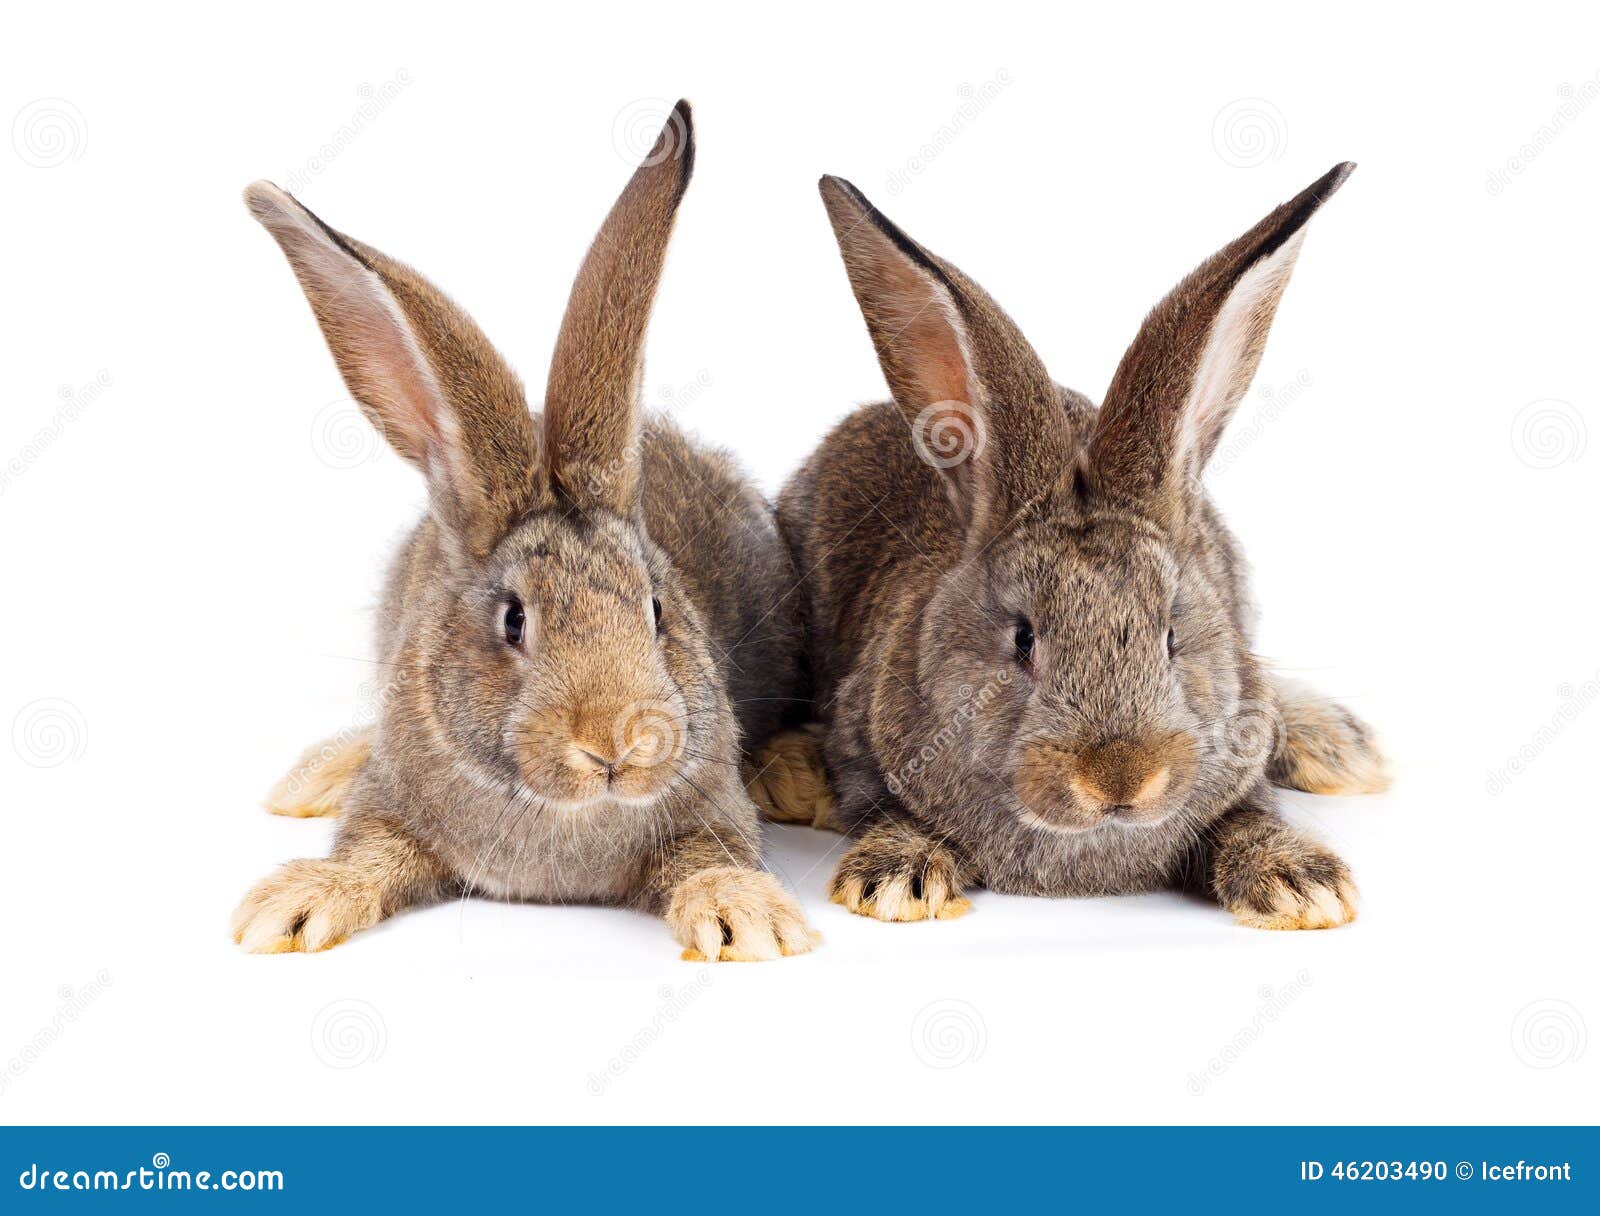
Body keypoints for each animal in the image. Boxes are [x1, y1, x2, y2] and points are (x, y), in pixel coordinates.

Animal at [231, 101, 819, 962]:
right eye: (513, 622)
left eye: (657, 611)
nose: (620, 742)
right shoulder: (395, 806)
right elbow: (366, 850)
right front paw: (294, 904)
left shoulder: (709, 810)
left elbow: (713, 855)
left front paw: (750, 917)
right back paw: (319, 773)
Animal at [756, 163, 1389, 930]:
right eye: (1023, 639)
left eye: (1172, 637)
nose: (1121, 778)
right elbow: (884, 812)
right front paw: (897, 877)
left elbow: (1245, 816)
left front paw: (1301, 883)